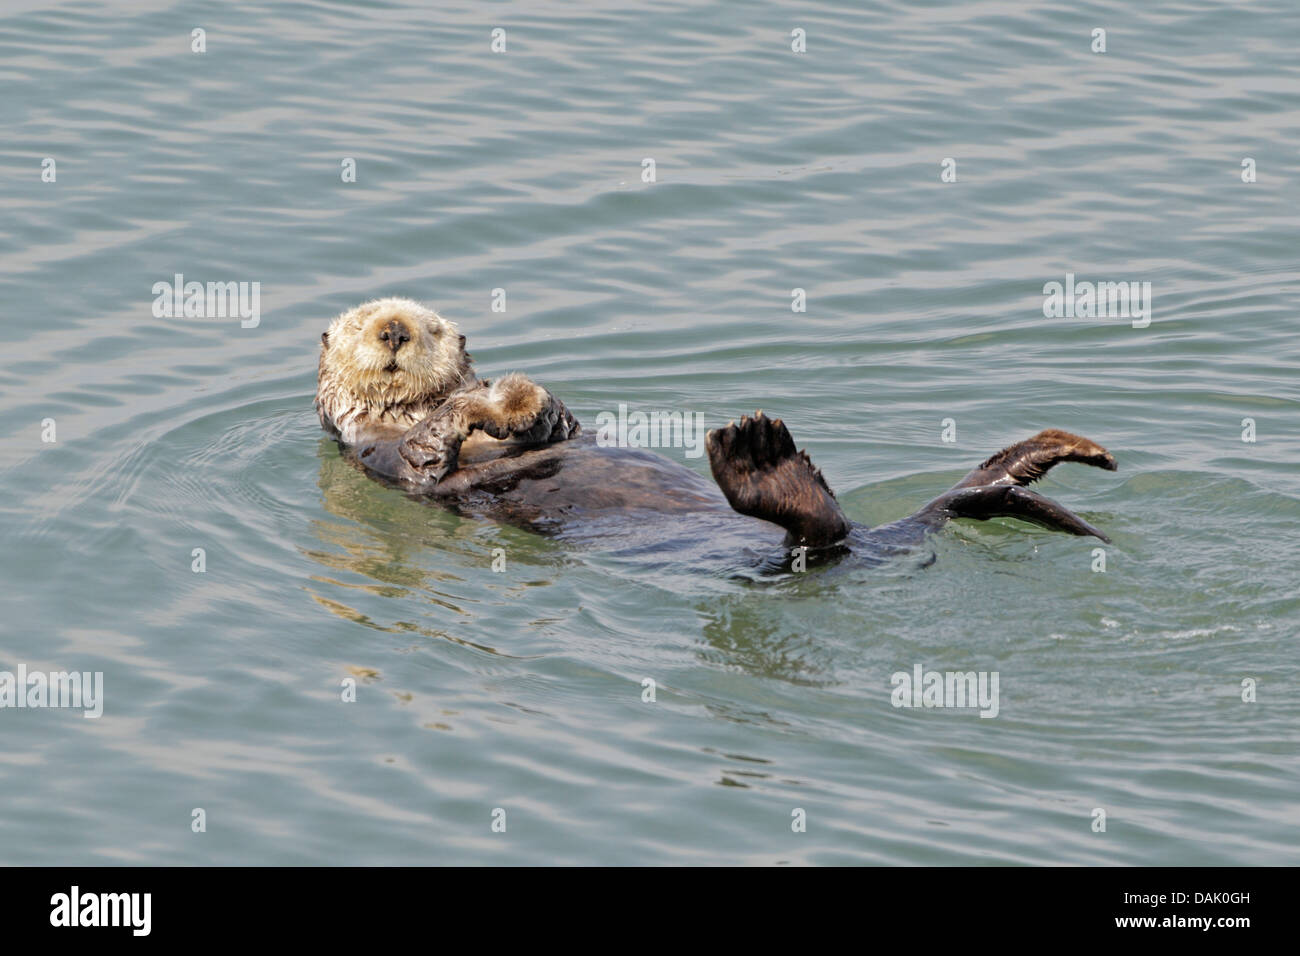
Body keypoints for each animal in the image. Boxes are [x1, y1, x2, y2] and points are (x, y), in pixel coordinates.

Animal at [316, 299, 1118, 567]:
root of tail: (868, 541)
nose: (392, 331)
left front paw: (516, 397)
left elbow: (555, 419)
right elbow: (425, 453)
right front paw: (482, 406)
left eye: (428, 325)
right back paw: (760, 459)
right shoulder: (384, 455)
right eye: (360, 324)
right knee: (812, 528)